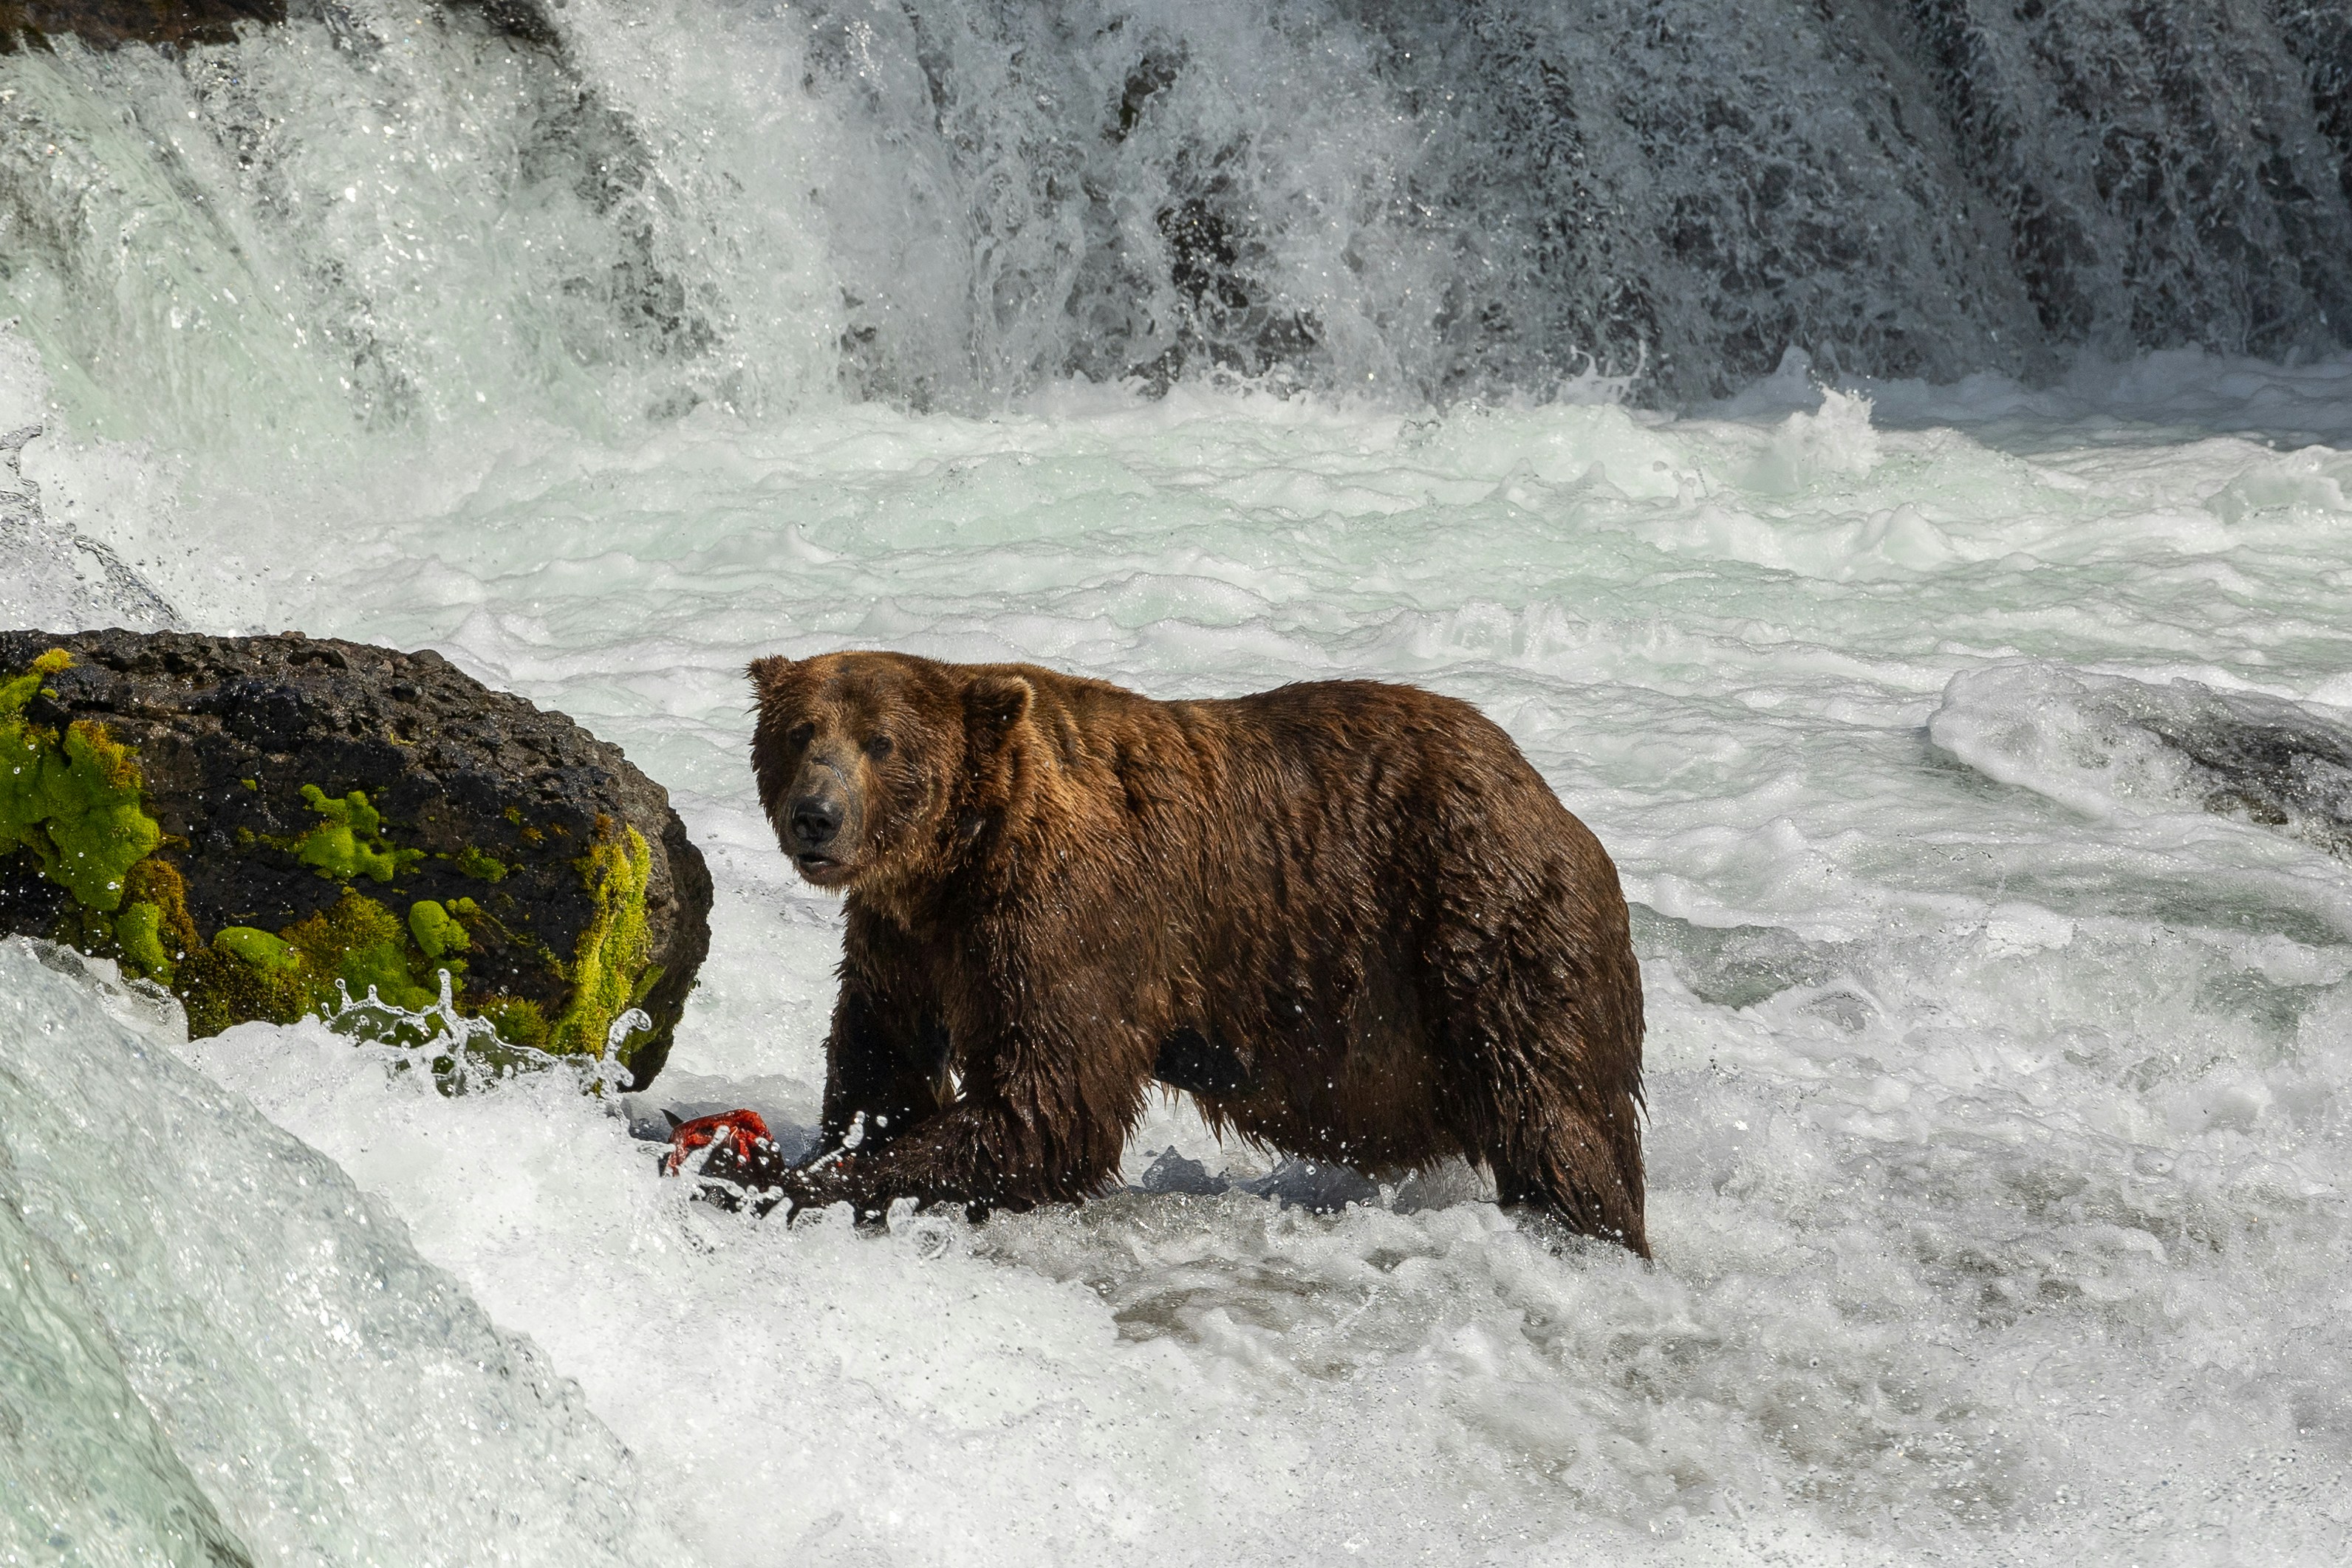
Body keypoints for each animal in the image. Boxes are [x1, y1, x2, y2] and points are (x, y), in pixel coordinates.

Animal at [743, 650, 1649, 1254]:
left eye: (882, 742)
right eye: (799, 731)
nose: (817, 816)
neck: (956, 860)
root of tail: (1551, 801)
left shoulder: (1066, 916)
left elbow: (1047, 1101)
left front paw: (803, 1183)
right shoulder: (907, 938)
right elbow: (882, 1057)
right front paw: (808, 1154)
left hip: (1490, 932)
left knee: (1560, 1119)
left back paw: (1587, 1229)